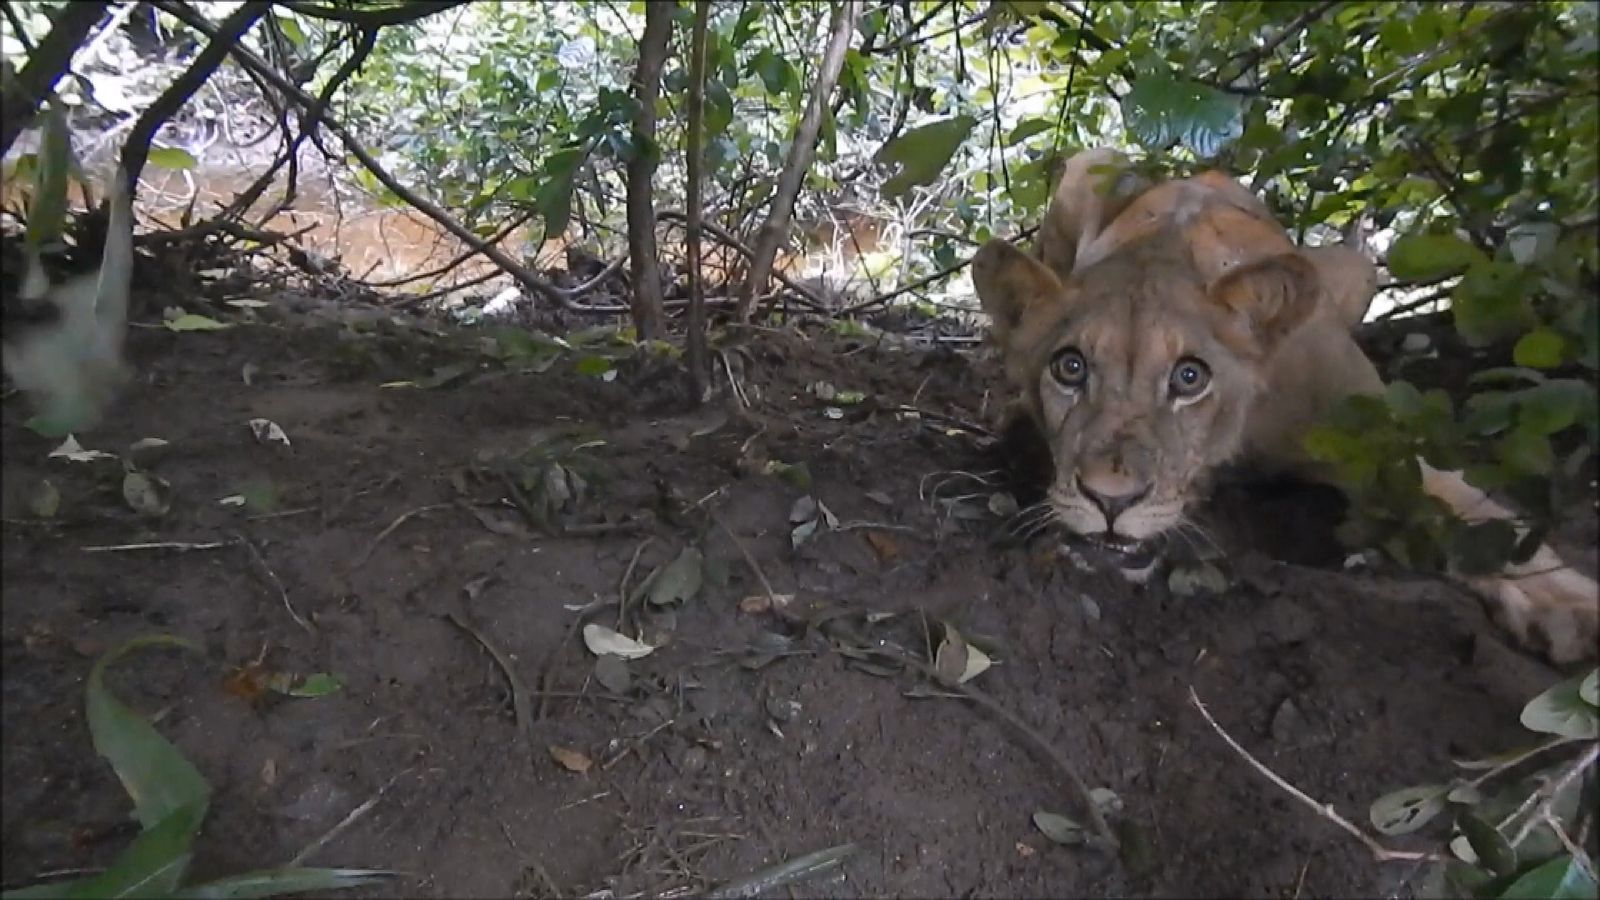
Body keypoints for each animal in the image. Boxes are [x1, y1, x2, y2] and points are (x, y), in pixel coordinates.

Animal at [971, 146, 1599, 664]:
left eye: (1190, 377)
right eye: (1070, 368)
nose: (1110, 499)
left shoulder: (1374, 429)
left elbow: (1465, 500)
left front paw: (1569, 604)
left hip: (1354, 270)